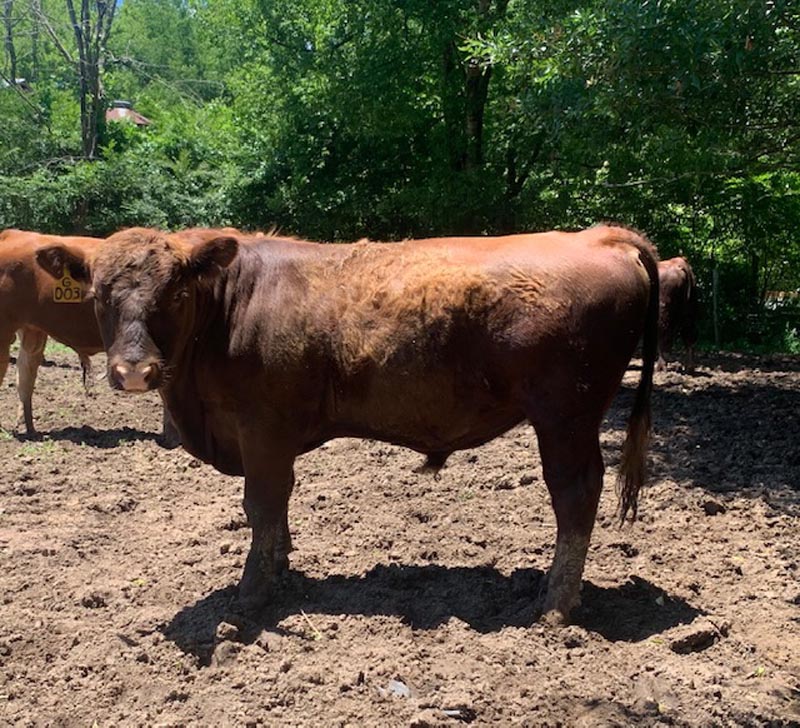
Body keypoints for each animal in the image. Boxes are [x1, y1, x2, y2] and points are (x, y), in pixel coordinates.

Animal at [34, 223, 659, 624]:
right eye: (99, 294)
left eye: (176, 290)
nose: (134, 370)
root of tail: (598, 234)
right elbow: (273, 512)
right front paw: (280, 567)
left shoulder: (263, 431)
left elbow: (262, 504)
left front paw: (252, 592)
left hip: (565, 418)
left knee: (575, 494)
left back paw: (554, 604)